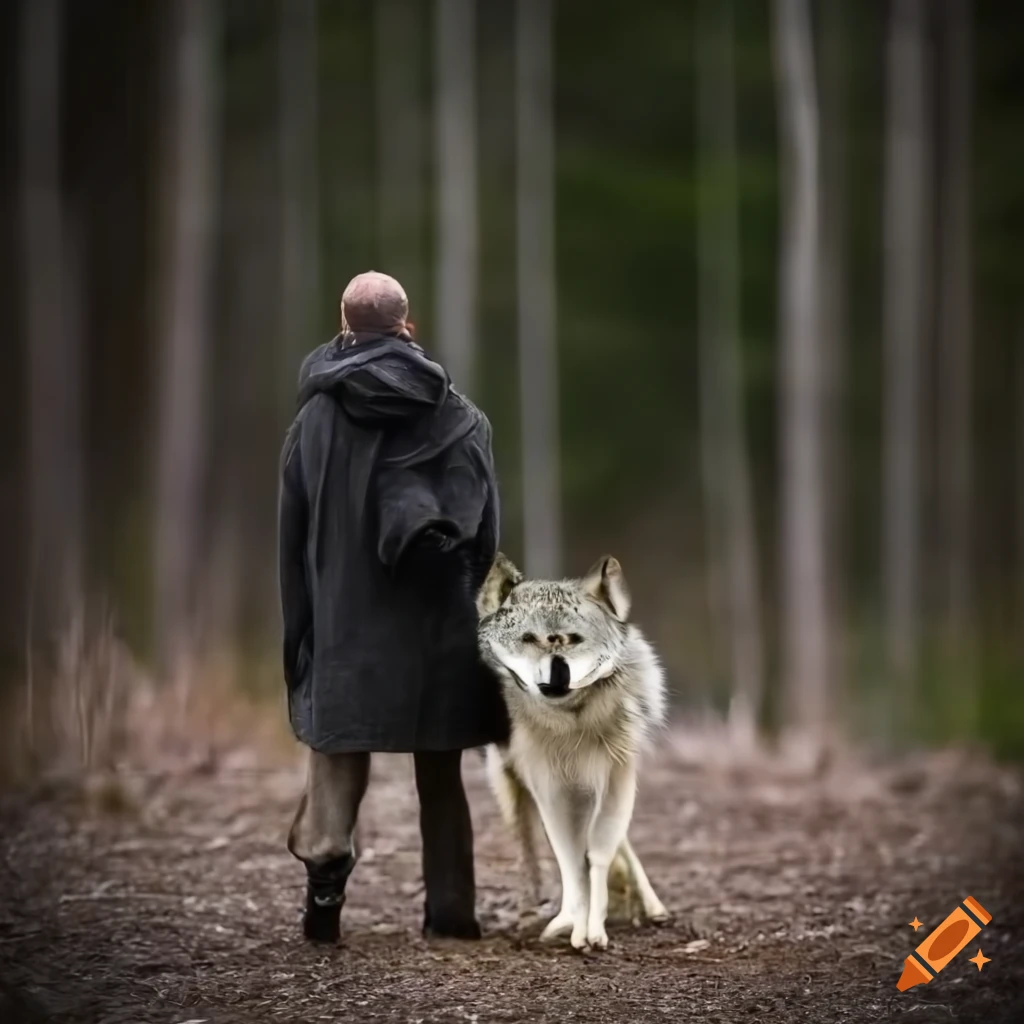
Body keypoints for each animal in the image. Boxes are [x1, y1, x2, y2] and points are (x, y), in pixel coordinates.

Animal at [476, 552, 670, 951]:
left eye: (573, 640)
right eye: (529, 639)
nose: (556, 676)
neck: (570, 724)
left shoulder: (615, 776)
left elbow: (597, 853)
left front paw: (595, 929)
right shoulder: (548, 785)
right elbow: (571, 863)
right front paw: (578, 927)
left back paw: (649, 906)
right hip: (512, 790)